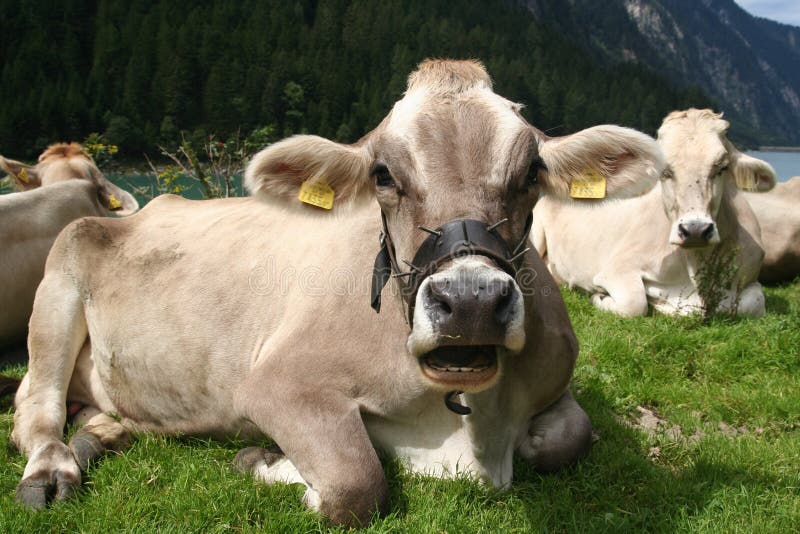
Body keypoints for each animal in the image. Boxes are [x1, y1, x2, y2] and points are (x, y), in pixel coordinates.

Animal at [532, 109, 777, 317]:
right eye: (665, 171)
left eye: (722, 167)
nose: (695, 230)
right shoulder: (618, 268)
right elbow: (634, 304)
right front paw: (599, 297)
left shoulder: (751, 277)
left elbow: (751, 304)